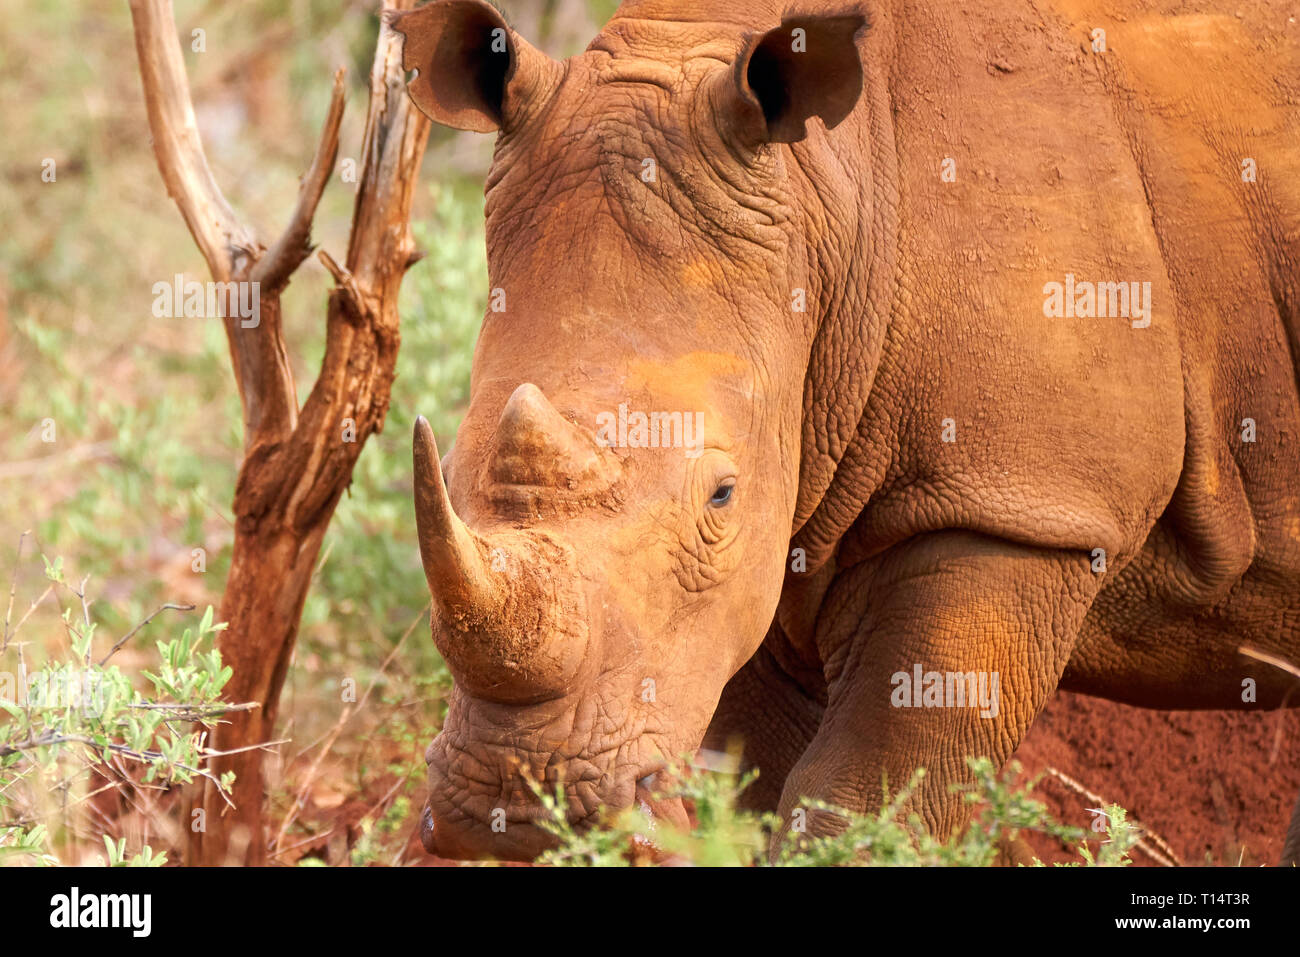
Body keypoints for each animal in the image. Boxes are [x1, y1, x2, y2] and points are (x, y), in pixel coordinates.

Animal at [391, 0, 1300, 862]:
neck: (833, 197)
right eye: (450, 469)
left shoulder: (1018, 502)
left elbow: (861, 795)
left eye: (721, 495)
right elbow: (758, 782)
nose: (515, 811)